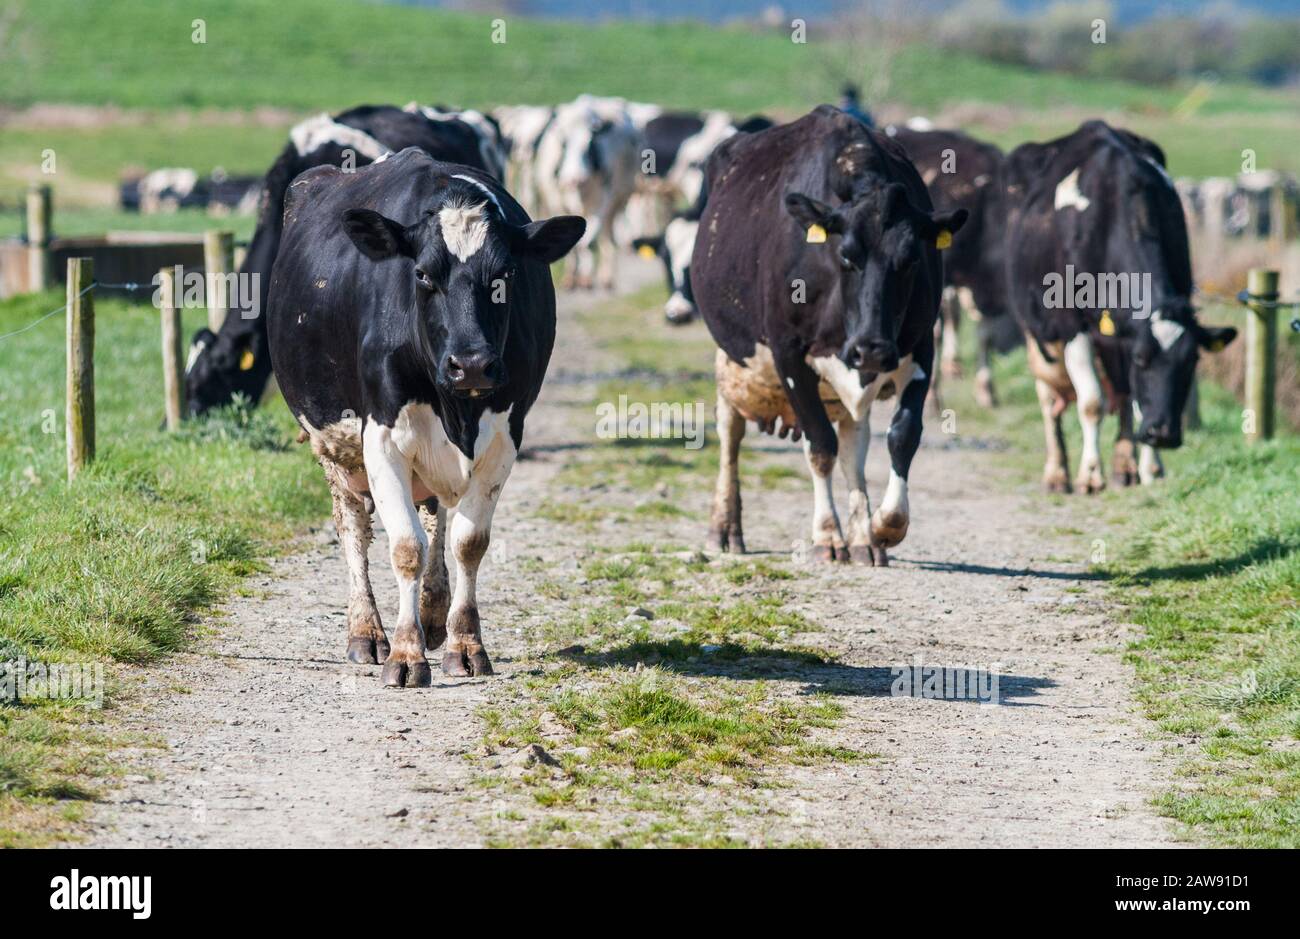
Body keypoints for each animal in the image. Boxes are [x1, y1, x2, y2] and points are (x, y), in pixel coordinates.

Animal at [267, 149, 584, 686]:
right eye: (421, 274)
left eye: (506, 276)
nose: (472, 364)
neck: (458, 407)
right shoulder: (381, 436)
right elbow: (405, 547)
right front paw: (405, 652)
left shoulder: (506, 435)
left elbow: (468, 541)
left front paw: (464, 643)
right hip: (332, 445)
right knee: (354, 526)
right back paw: (367, 631)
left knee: (435, 516)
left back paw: (432, 614)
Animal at [691, 106, 967, 565]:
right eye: (845, 256)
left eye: (911, 260)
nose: (871, 348)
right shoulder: (788, 353)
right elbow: (820, 445)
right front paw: (828, 535)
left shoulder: (920, 349)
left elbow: (902, 436)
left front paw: (882, 527)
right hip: (730, 356)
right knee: (730, 431)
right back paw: (725, 527)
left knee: (855, 444)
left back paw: (863, 537)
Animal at [1003, 120, 1236, 493]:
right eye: (1142, 359)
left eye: (1192, 361)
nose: (1164, 434)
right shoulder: (1073, 326)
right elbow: (1092, 403)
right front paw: (1090, 475)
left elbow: (1135, 399)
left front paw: (1149, 467)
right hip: (1037, 334)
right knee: (1048, 399)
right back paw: (1057, 473)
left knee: (1122, 396)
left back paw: (1125, 464)